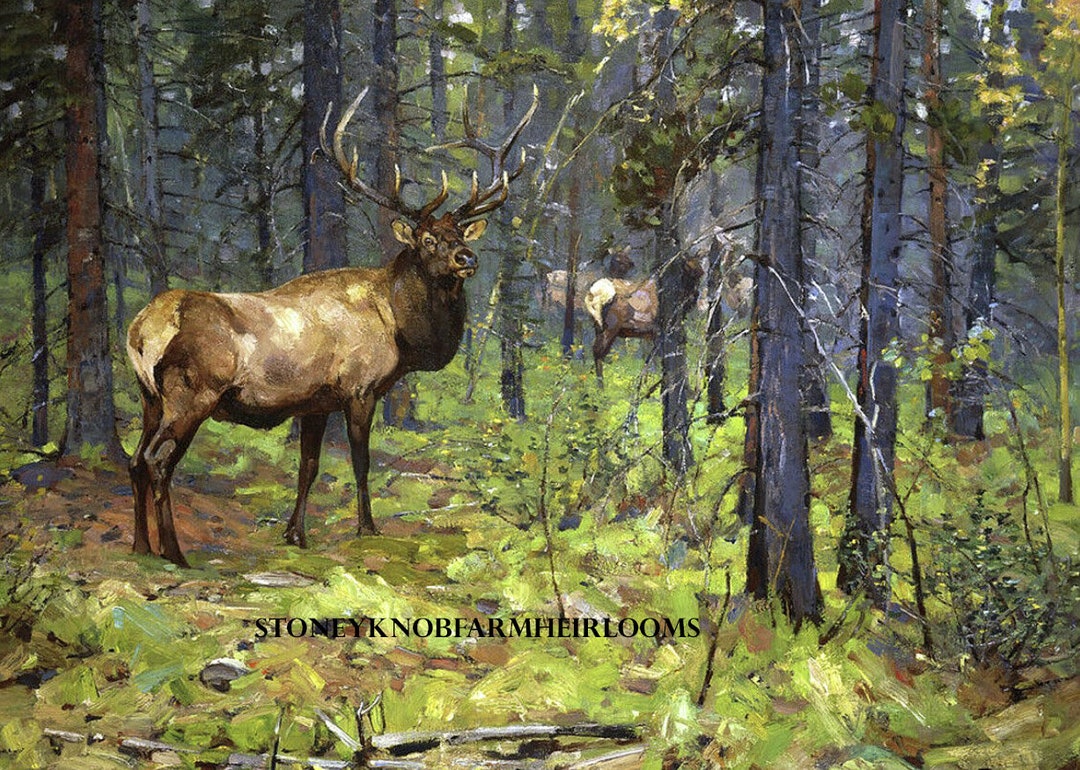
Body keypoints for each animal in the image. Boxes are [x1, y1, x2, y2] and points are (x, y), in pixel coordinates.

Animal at [126, 85, 537, 567]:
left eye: (461, 235)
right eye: (428, 239)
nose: (467, 258)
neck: (400, 330)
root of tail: (142, 329)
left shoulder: (314, 402)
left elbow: (308, 467)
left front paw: (294, 534)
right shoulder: (359, 388)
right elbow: (361, 462)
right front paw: (367, 527)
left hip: (149, 398)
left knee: (134, 460)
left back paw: (139, 545)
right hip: (191, 393)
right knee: (158, 462)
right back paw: (174, 552)